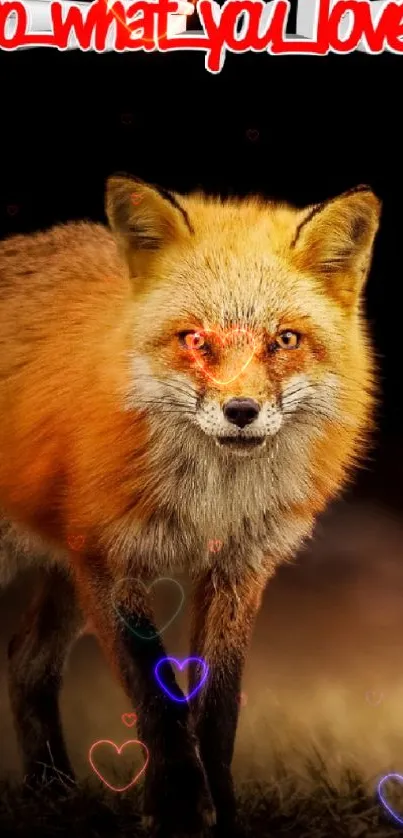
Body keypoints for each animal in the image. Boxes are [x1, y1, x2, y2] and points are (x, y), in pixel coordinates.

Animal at [0, 174, 381, 837]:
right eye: (195, 339)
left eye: (284, 339)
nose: (241, 412)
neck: (210, 500)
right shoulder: (108, 555)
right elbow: (157, 694)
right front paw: (178, 809)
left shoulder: (238, 567)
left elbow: (218, 707)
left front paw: (221, 813)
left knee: (25, 659)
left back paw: (53, 795)